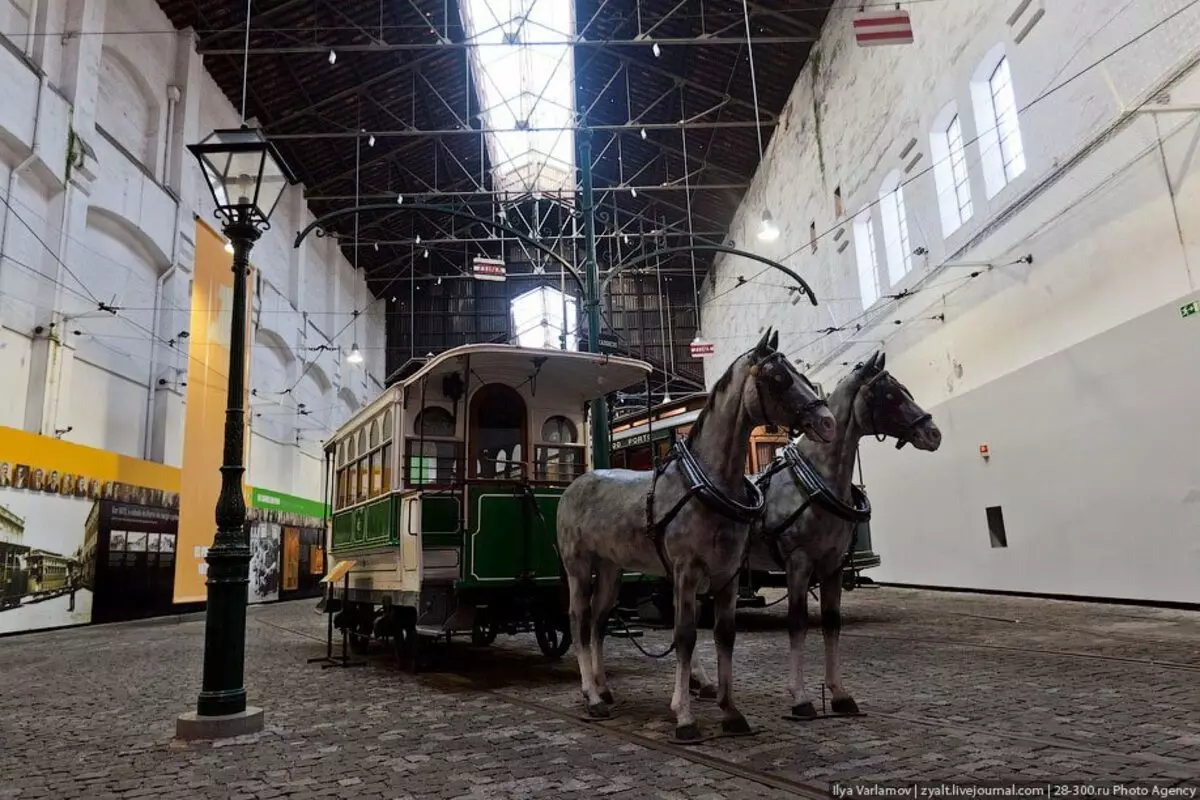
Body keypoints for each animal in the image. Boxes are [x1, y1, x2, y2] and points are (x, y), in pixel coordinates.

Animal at [559, 328, 835, 743]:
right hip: (578, 567)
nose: (828, 420)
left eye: (798, 372)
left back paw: (604, 689)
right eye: (777, 378)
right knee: (578, 620)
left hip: (610, 569)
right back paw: (591, 697)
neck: (708, 482)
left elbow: (725, 634)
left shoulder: (728, 575)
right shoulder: (686, 573)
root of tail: (575, 484)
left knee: (598, 622)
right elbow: (685, 635)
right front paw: (685, 717)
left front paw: (731, 712)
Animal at [720, 352, 936, 714]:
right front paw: (800, 697)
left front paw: (839, 693)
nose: (933, 433)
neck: (815, 481)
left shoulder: (833, 565)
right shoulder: (798, 563)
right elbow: (797, 623)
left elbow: (832, 623)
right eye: (889, 395)